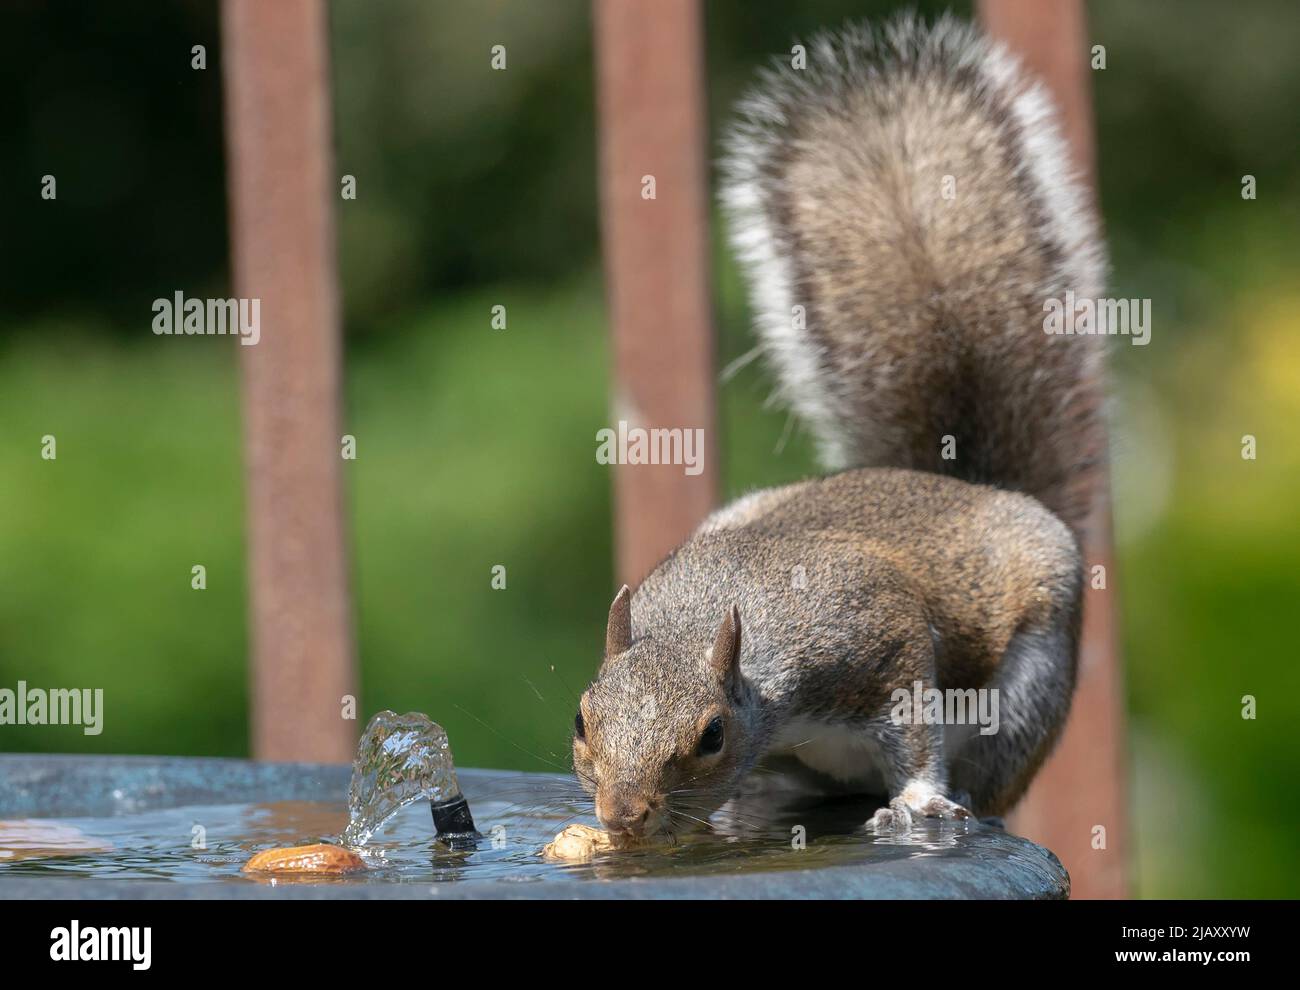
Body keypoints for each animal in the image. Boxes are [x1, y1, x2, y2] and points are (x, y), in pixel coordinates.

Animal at [573, 15, 1107, 837]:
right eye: (581, 719)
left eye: (711, 735)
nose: (622, 816)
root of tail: (973, 488)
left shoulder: (879, 640)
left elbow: (913, 729)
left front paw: (917, 800)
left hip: (1030, 686)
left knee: (990, 773)